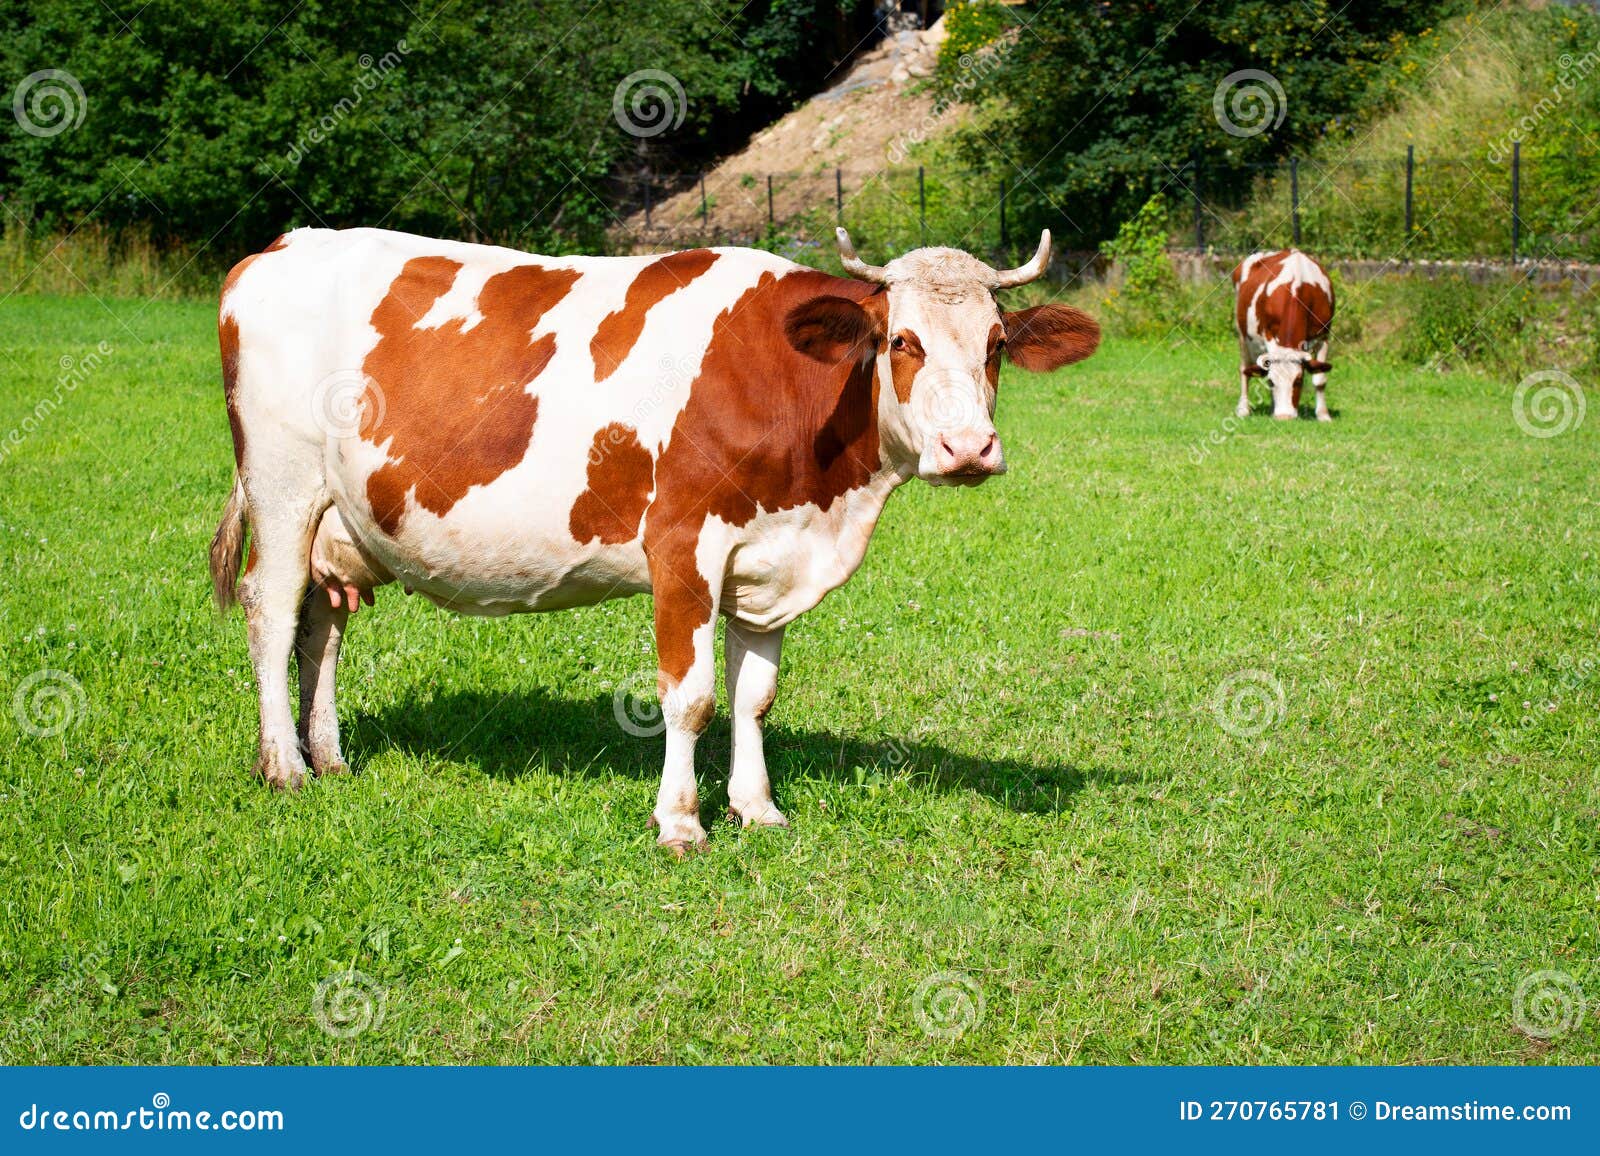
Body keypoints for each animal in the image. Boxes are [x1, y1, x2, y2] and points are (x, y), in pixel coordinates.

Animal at [209, 226, 1101, 852]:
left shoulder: (767, 561)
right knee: (273, 613)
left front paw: (756, 808)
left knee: (322, 628)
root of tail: (279, 247)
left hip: (339, 519)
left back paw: (329, 758)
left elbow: (755, 695)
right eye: (901, 341)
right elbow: (691, 694)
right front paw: (679, 822)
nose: (969, 449)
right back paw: (284, 766)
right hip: (283, 487)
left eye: (995, 347)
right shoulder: (683, 547)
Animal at [1232, 248, 1334, 421]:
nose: (1284, 417)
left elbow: (1320, 379)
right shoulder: (1268, 336)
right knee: (1244, 370)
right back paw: (1243, 409)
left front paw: (1323, 415)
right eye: (1272, 382)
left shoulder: (1323, 336)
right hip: (1242, 334)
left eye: (1299, 381)